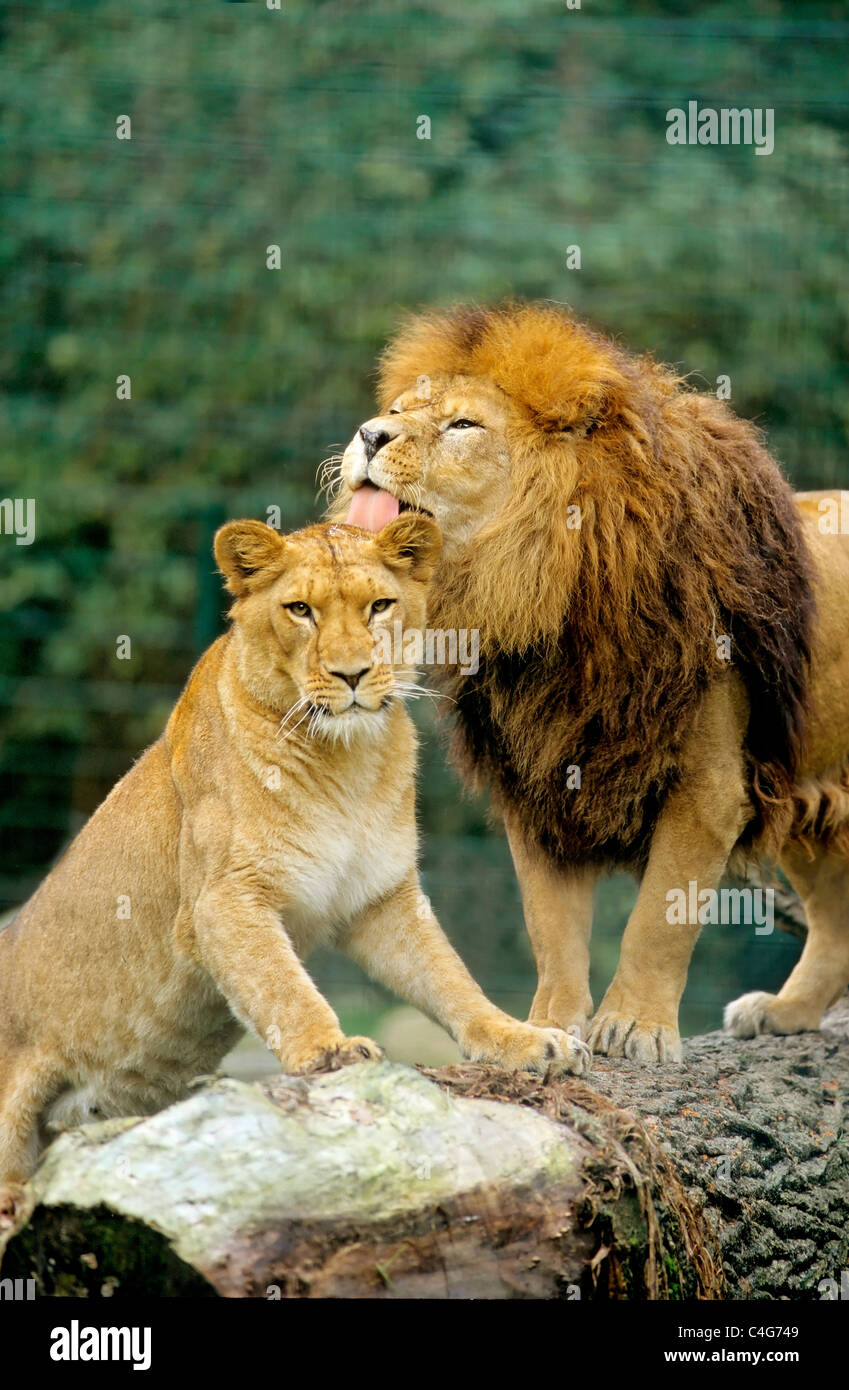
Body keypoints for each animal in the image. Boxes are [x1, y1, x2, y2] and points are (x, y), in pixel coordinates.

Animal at [0, 513, 588, 1226]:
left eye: (380, 605)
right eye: (300, 610)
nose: (353, 673)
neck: (345, 761)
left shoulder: (381, 898)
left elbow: (451, 980)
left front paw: (524, 1041)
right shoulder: (222, 899)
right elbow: (283, 987)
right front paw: (329, 1051)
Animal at [334, 300, 849, 1064]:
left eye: (463, 426)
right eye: (396, 411)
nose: (369, 435)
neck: (543, 586)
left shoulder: (709, 786)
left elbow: (659, 919)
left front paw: (633, 1027)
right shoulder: (540, 776)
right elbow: (550, 925)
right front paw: (547, 1026)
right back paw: (787, 1012)